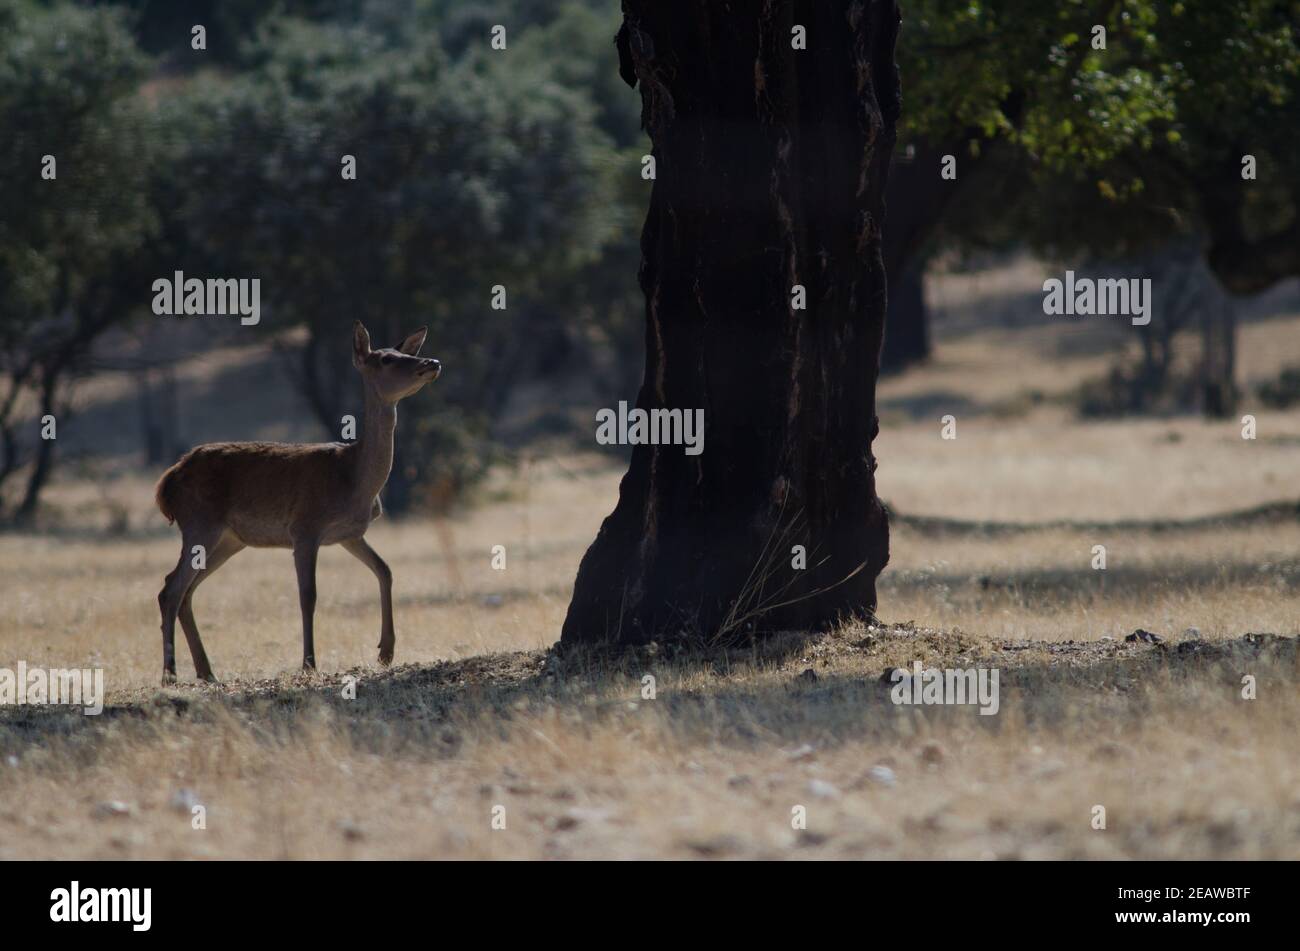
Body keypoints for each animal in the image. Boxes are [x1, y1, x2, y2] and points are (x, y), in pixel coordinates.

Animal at [153, 321, 441, 684]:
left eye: (409, 352)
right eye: (387, 358)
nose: (432, 362)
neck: (352, 479)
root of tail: (167, 482)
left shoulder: (350, 534)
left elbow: (385, 570)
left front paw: (386, 652)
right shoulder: (305, 528)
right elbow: (309, 595)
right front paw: (309, 663)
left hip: (230, 539)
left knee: (184, 590)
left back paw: (206, 672)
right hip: (199, 523)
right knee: (170, 589)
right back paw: (170, 675)